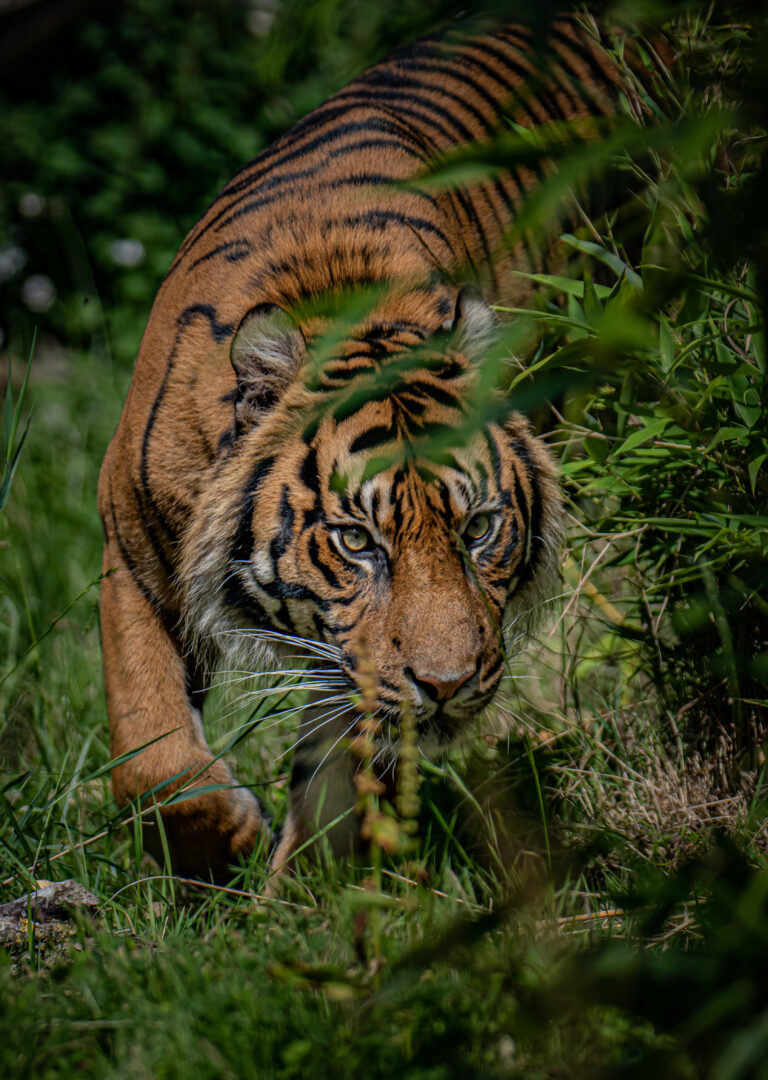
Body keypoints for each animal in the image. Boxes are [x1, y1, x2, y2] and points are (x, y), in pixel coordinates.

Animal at [98, 12, 668, 880]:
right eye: (357, 542)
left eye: (479, 529)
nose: (448, 683)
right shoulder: (134, 552)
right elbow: (149, 745)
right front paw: (226, 841)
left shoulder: (357, 666)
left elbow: (346, 758)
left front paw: (311, 887)